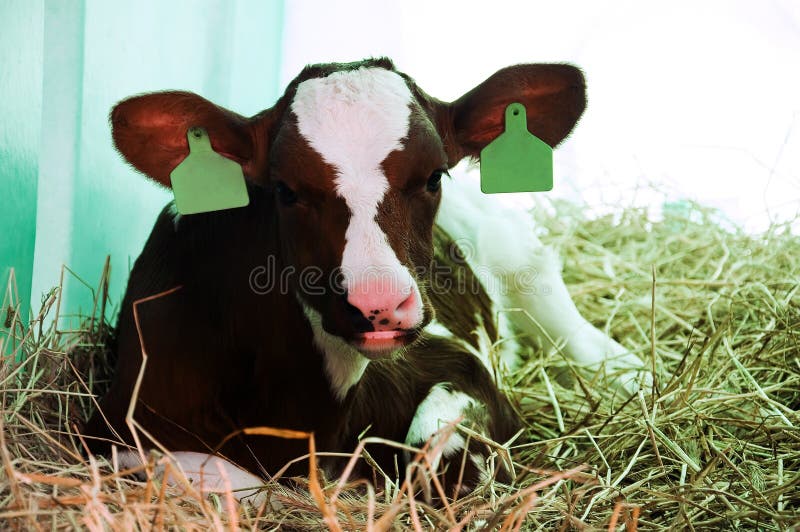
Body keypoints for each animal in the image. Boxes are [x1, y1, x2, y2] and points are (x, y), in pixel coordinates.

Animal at [83, 58, 645, 502]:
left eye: (434, 176)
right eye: (285, 190)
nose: (379, 305)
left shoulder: (459, 361)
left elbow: (442, 452)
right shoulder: (115, 432)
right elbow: (221, 480)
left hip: (514, 250)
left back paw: (630, 375)